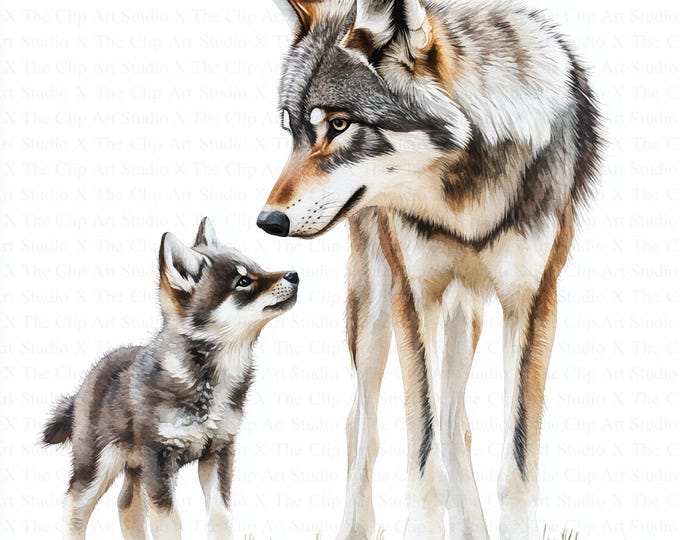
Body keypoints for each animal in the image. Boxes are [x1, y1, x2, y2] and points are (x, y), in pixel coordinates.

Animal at [42, 217, 299, 540]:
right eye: (243, 282)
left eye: (258, 267)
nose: (295, 274)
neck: (207, 378)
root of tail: (82, 388)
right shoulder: (159, 458)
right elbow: (169, 521)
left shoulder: (218, 451)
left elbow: (220, 517)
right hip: (99, 465)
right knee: (75, 504)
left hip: (134, 466)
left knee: (126, 504)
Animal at [258, 1, 602, 539]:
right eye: (291, 129)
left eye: (339, 125)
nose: (268, 221)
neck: (465, 189)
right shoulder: (413, 298)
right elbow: (422, 458)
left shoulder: (534, 301)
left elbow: (515, 464)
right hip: (375, 310)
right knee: (362, 424)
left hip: (465, 312)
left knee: (456, 424)